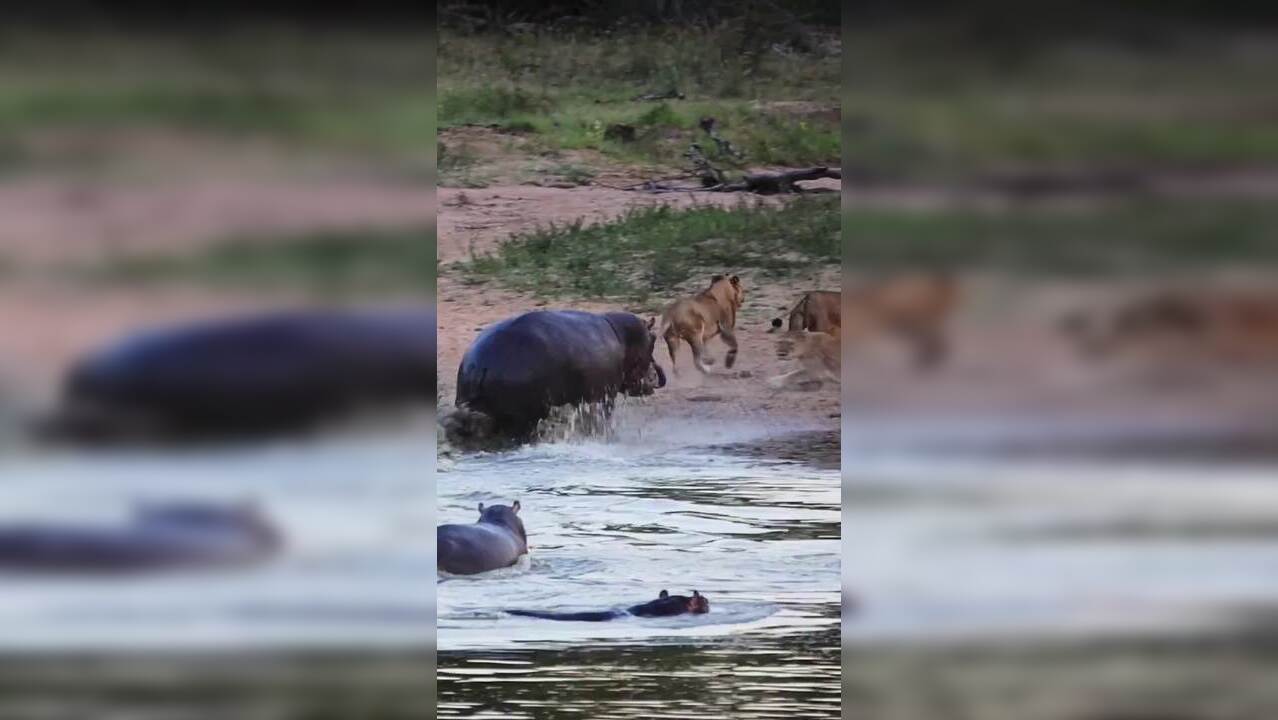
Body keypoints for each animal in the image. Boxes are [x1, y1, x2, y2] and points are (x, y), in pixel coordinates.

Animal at [451, 310, 665, 440]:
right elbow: (602, 420)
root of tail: (481, 365)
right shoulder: (604, 396)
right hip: (523, 415)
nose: (655, 374)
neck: (622, 335)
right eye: (654, 338)